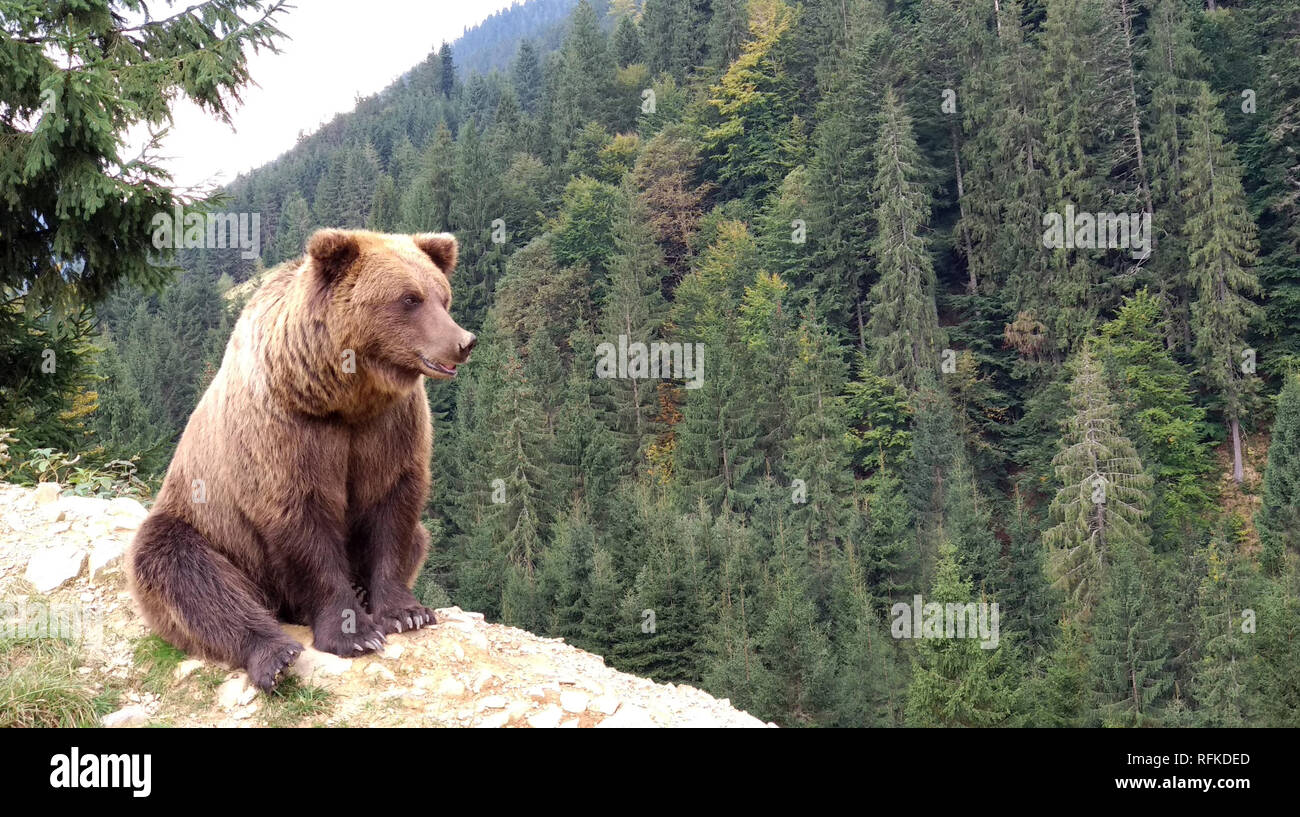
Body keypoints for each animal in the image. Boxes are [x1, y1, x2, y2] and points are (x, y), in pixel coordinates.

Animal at [126, 228, 476, 691]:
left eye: (443, 296)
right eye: (409, 298)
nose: (463, 342)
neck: (342, 396)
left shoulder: (389, 425)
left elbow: (394, 506)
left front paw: (406, 612)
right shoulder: (287, 429)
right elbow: (301, 519)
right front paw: (354, 633)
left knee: (419, 536)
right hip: (207, 526)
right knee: (185, 573)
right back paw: (275, 653)